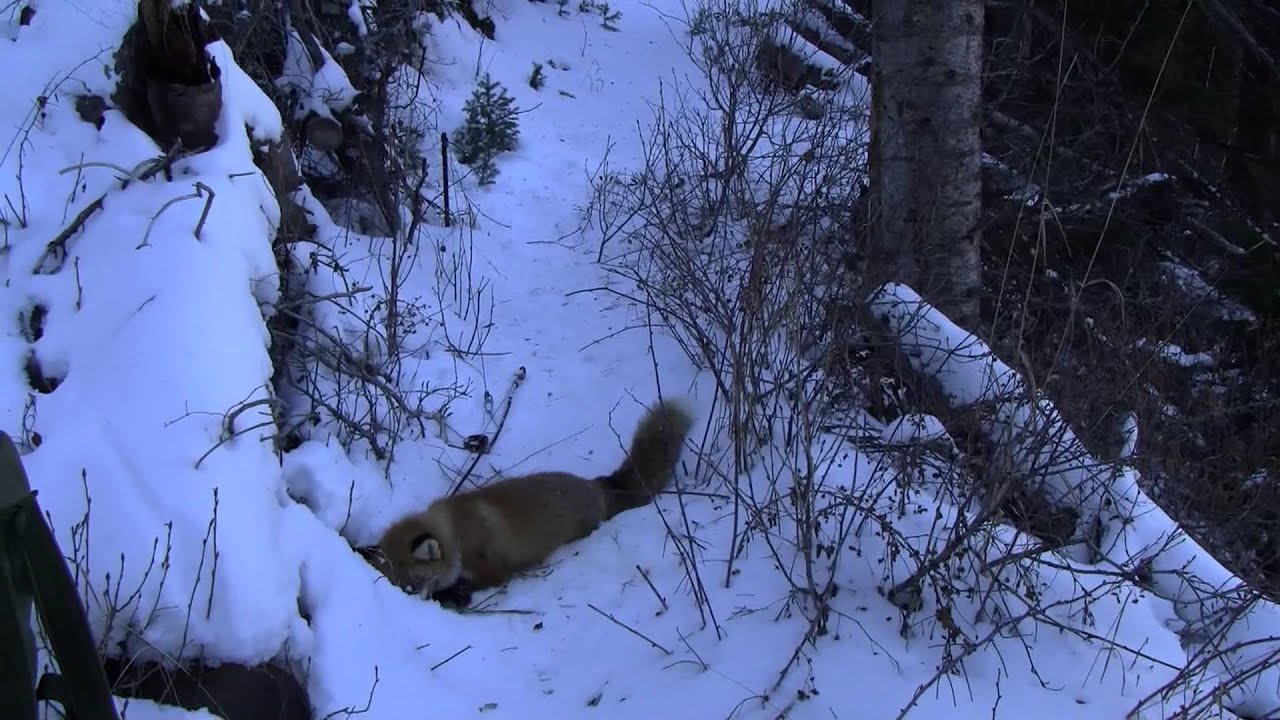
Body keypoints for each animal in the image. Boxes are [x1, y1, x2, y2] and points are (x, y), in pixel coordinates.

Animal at [376, 398, 694, 606]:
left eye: (414, 583)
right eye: (396, 583)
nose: (407, 600)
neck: (456, 534)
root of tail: (596, 485)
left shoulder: (493, 571)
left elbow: (479, 581)